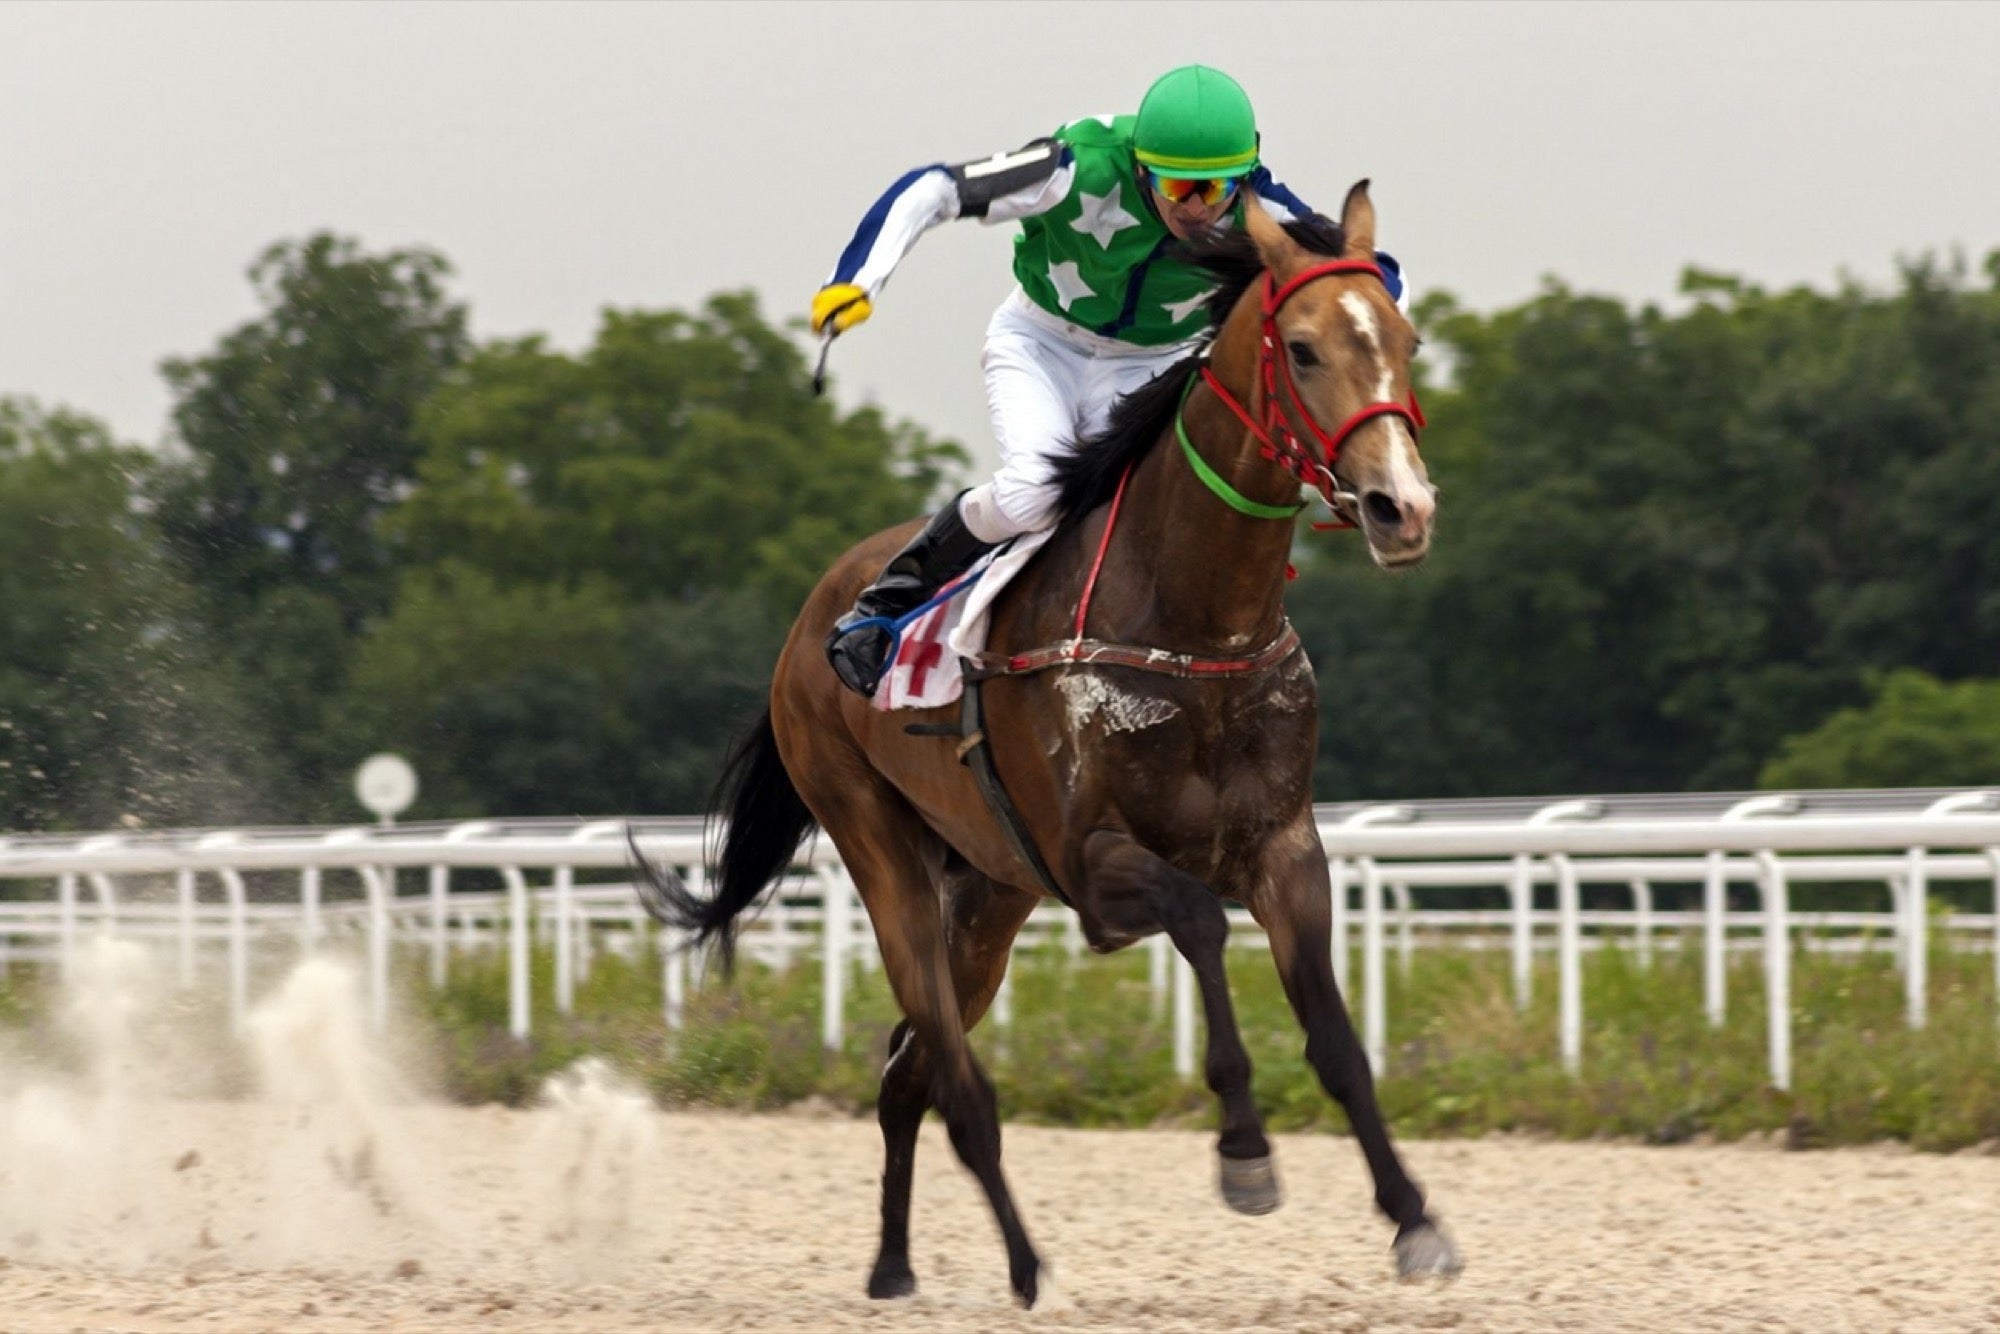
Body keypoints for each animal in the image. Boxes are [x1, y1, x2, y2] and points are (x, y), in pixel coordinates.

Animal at [633, 183, 1461, 1307]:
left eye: (1405, 341)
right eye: (1300, 350)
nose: (1398, 507)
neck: (1194, 622)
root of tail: (813, 615)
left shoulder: (1287, 850)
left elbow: (1336, 1041)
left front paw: (1413, 1217)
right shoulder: (1093, 860)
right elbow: (1201, 922)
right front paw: (1244, 1150)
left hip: (987, 896)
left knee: (905, 1073)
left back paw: (892, 1262)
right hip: (882, 852)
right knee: (956, 1081)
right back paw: (1028, 1267)